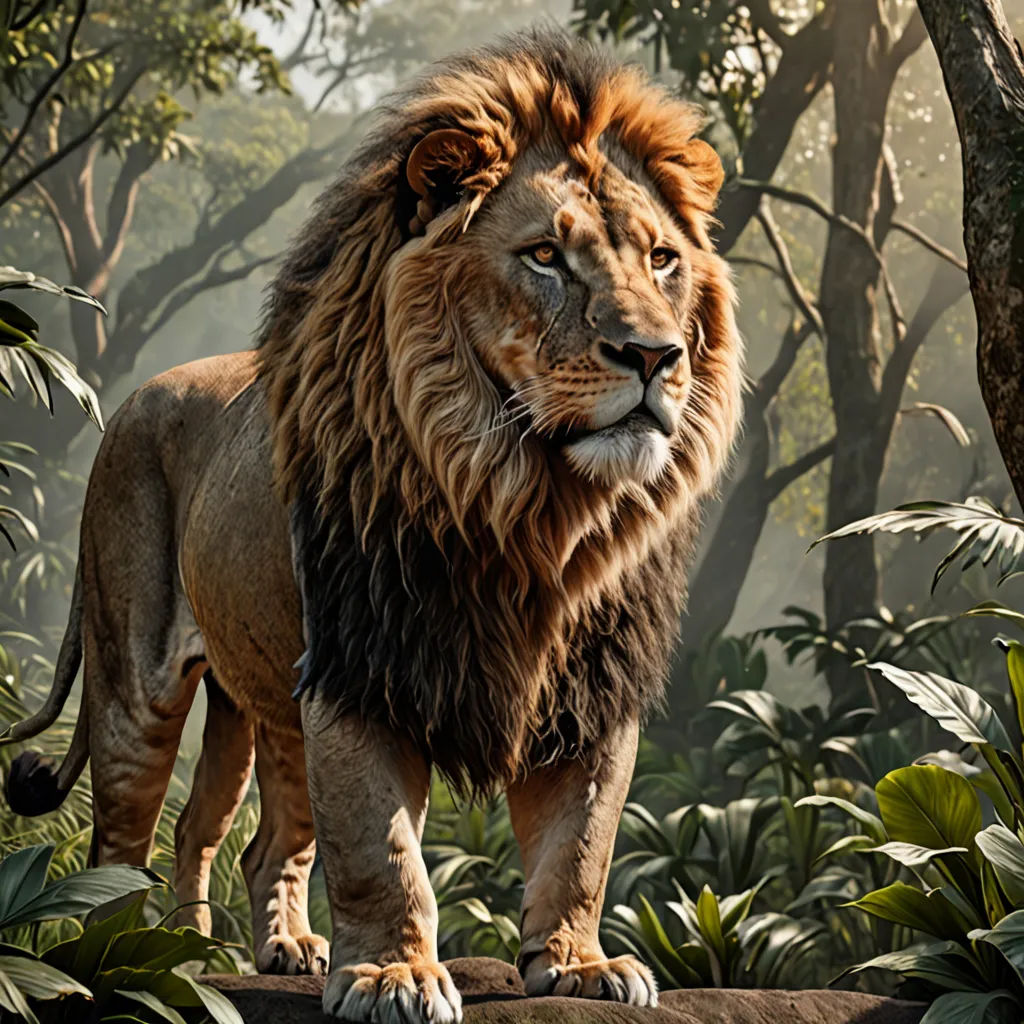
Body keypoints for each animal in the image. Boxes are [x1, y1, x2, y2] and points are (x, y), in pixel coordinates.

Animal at [4, 29, 742, 1024]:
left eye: (662, 259)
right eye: (545, 256)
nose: (654, 355)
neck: (531, 510)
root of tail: (128, 402)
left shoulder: (593, 686)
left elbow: (582, 843)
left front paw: (578, 965)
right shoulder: (363, 666)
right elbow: (380, 851)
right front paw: (394, 975)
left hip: (259, 690)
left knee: (227, 834)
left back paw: (236, 949)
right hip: (139, 681)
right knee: (120, 839)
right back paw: (127, 959)